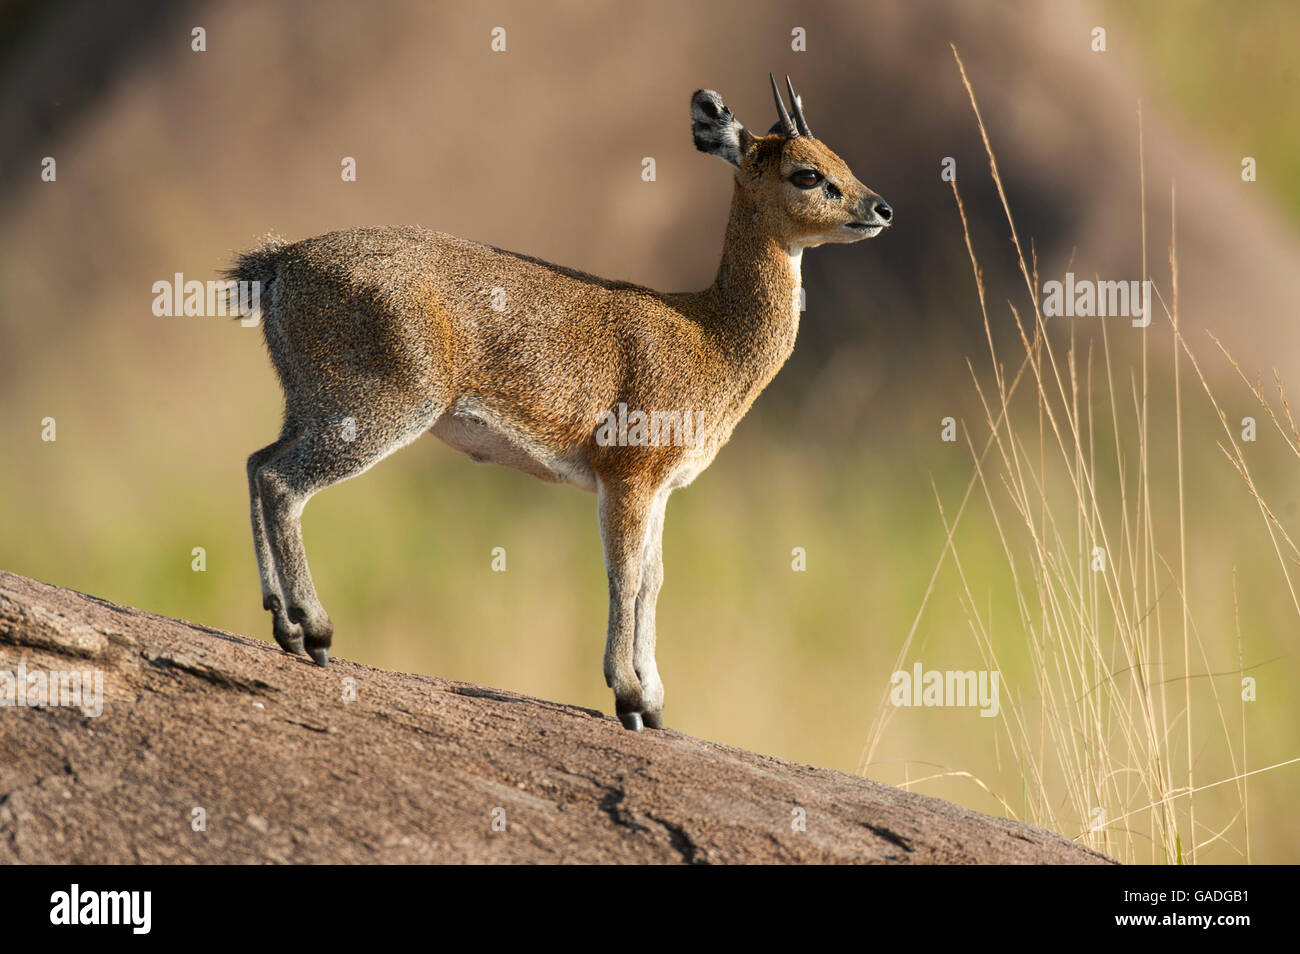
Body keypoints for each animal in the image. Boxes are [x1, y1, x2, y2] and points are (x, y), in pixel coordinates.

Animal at [230, 76, 892, 731]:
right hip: (376, 412)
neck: (708, 333)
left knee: (257, 462)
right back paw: (315, 632)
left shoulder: (661, 489)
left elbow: (653, 580)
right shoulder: (627, 478)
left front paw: (654, 703)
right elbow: (625, 575)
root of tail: (280, 262)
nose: (880, 209)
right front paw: (627, 696)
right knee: (285, 483)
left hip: (311, 407)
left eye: (841, 159)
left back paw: (283, 622)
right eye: (806, 173)